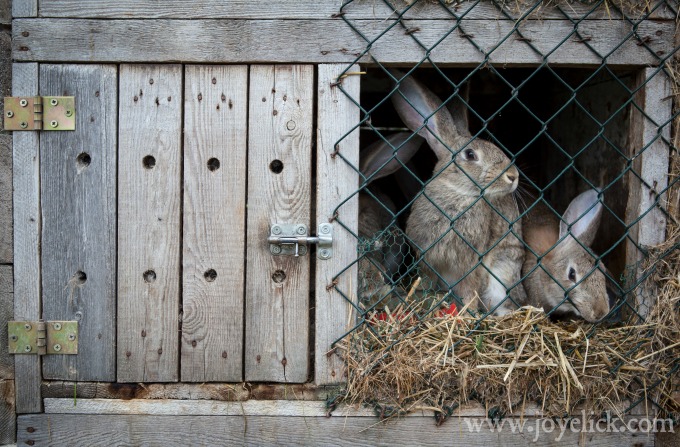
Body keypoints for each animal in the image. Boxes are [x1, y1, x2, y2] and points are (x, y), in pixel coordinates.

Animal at [390, 70, 525, 313]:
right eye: (470, 155)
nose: (513, 176)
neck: (458, 194)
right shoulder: (427, 259)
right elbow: (427, 280)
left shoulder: (472, 263)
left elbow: (470, 287)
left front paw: (467, 311)